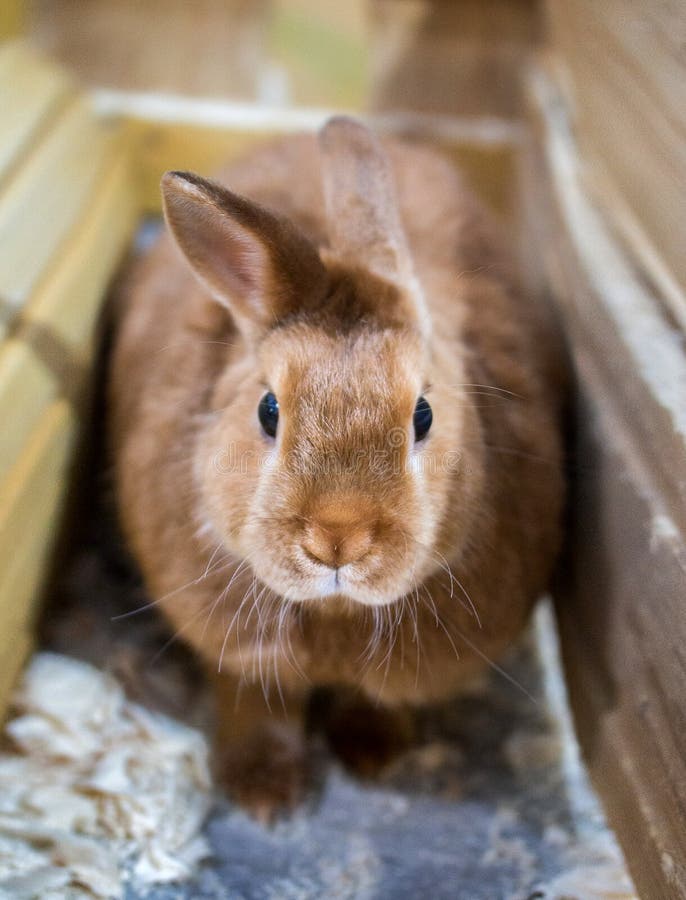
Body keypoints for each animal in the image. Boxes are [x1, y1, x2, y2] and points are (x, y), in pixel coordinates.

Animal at [108, 116, 565, 818]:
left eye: (424, 416)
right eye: (268, 410)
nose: (337, 538)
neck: (337, 613)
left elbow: (371, 697)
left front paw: (372, 756)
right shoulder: (239, 653)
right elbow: (254, 704)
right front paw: (264, 794)